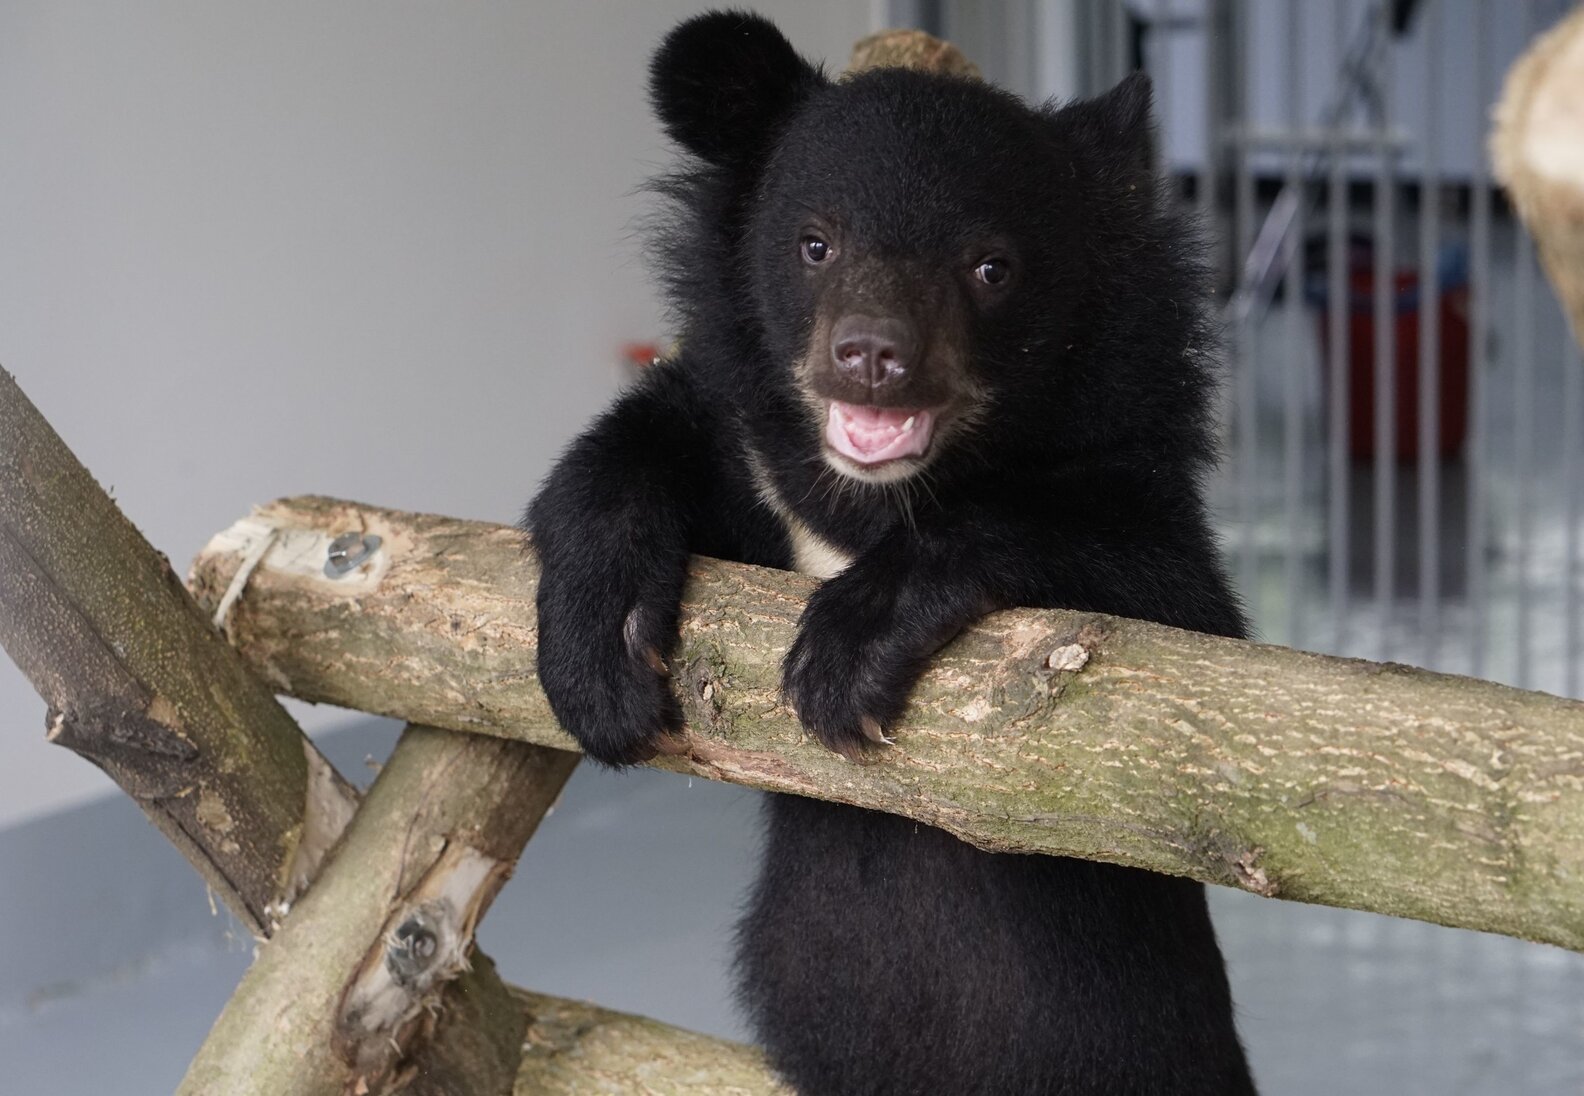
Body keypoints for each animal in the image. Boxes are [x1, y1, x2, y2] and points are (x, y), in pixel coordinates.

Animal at [526, 10, 1257, 1094]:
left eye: (991, 267)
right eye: (815, 243)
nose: (872, 356)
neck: (869, 499)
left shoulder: (1135, 479)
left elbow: (1168, 601)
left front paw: (844, 655)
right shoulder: (751, 463)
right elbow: (633, 450)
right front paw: (599, 668)